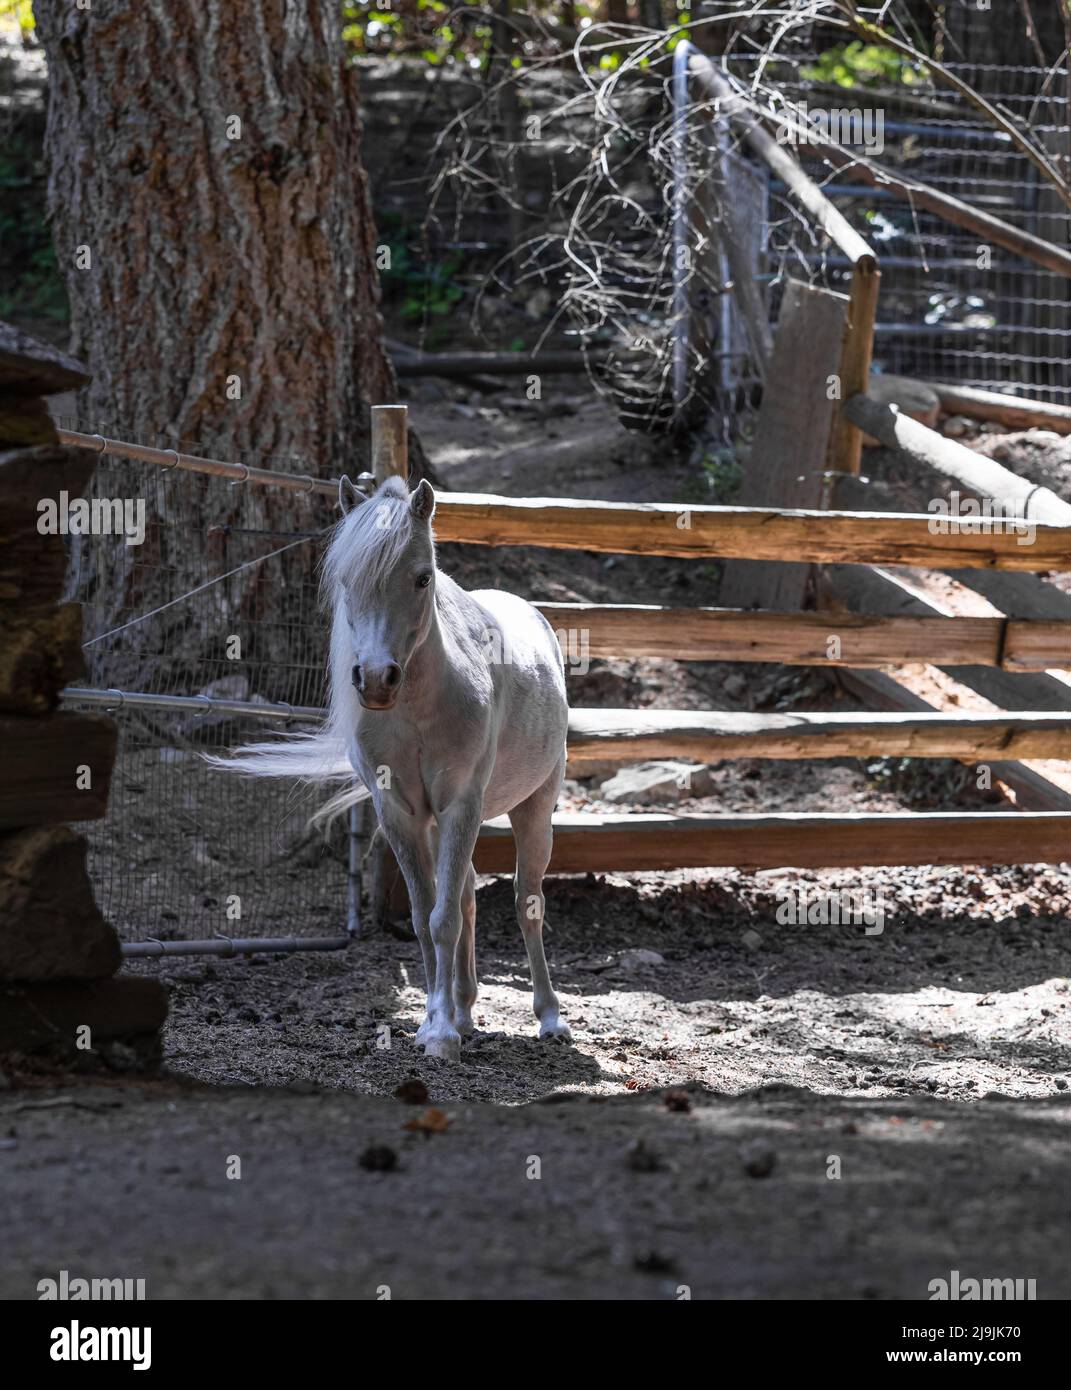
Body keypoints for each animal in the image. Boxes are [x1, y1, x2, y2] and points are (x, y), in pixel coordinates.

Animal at [213, 474, 571, 1062]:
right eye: (345, 579)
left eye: (423, 577)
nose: (377, 678)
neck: (420, 708)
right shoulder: (400, 814)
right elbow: (429, 920)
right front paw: (438, 1023)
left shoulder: (460, 805)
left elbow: (443, 919)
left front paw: (443, 1034)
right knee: (467, 892)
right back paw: (466, 1009)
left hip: (534, 808)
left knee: (528, 902)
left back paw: (549, 1017)